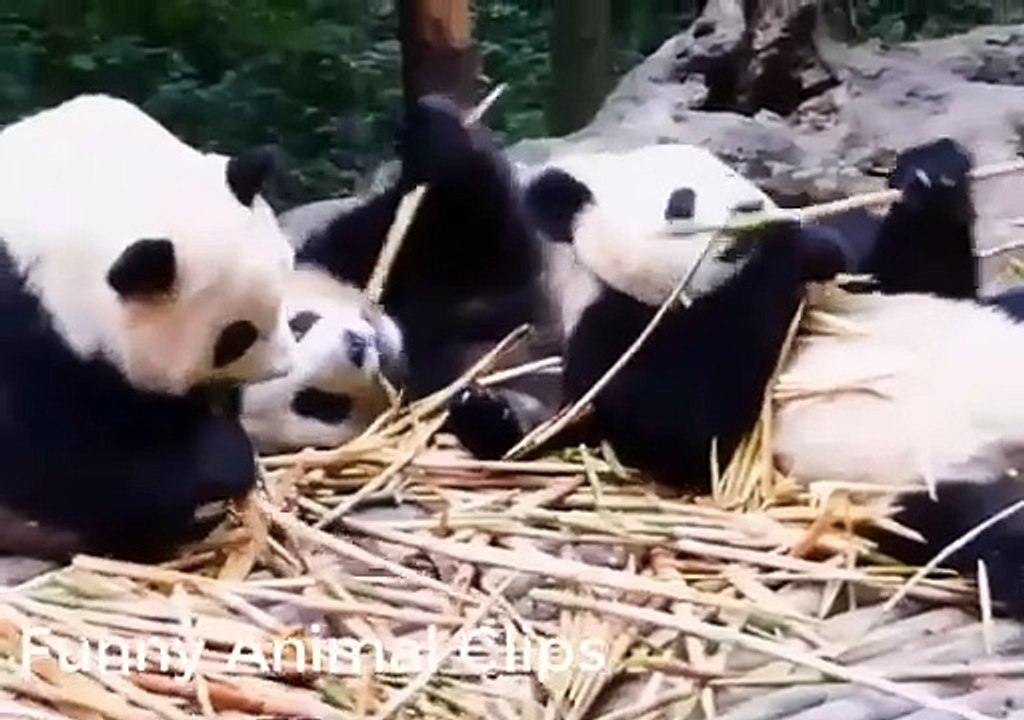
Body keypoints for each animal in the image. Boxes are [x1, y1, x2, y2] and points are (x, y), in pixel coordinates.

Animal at [0, 94, 297, 562]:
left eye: (285, 283)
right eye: (236, 336)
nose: (285, 366)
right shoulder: (26, 335)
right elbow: (65, 460)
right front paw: (223, 458)